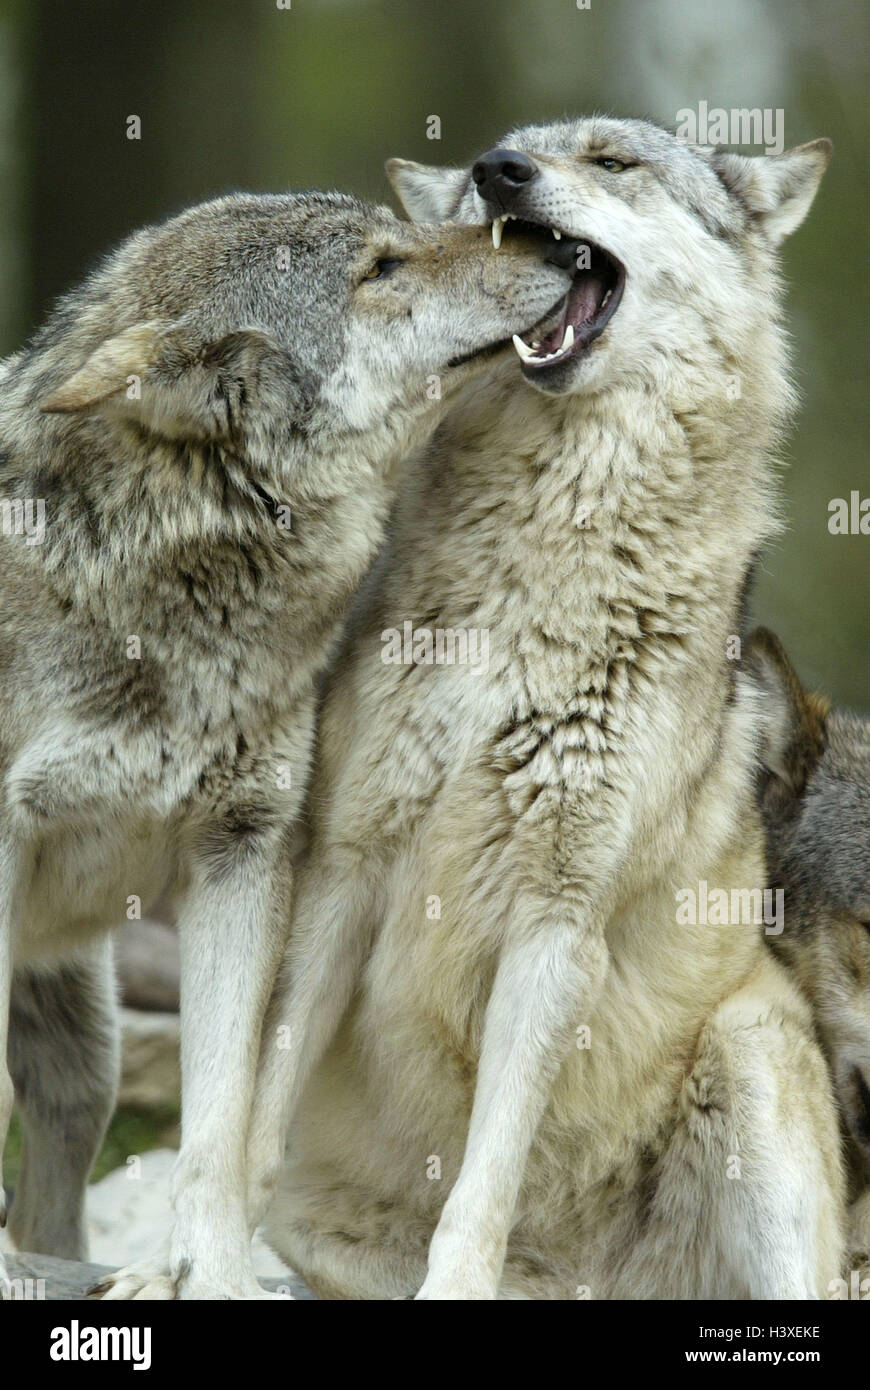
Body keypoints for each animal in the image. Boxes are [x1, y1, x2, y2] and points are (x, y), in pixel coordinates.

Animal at [0, 191, 571, 1299]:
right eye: (381, 268)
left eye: (398, 238)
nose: (554, 239)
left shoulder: (244, 850)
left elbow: (220, 1122)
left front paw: (213, 1272)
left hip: (79, 1032)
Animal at [232, 116, 844, 1301]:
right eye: (495, 166)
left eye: (613, 162)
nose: (497, 171)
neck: (537, 573)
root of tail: (589, 1283)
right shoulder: (346, 867)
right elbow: (263, 1099)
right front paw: (196, 1246)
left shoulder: (560, 919)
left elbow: (483, 1179)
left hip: (751, 1057)